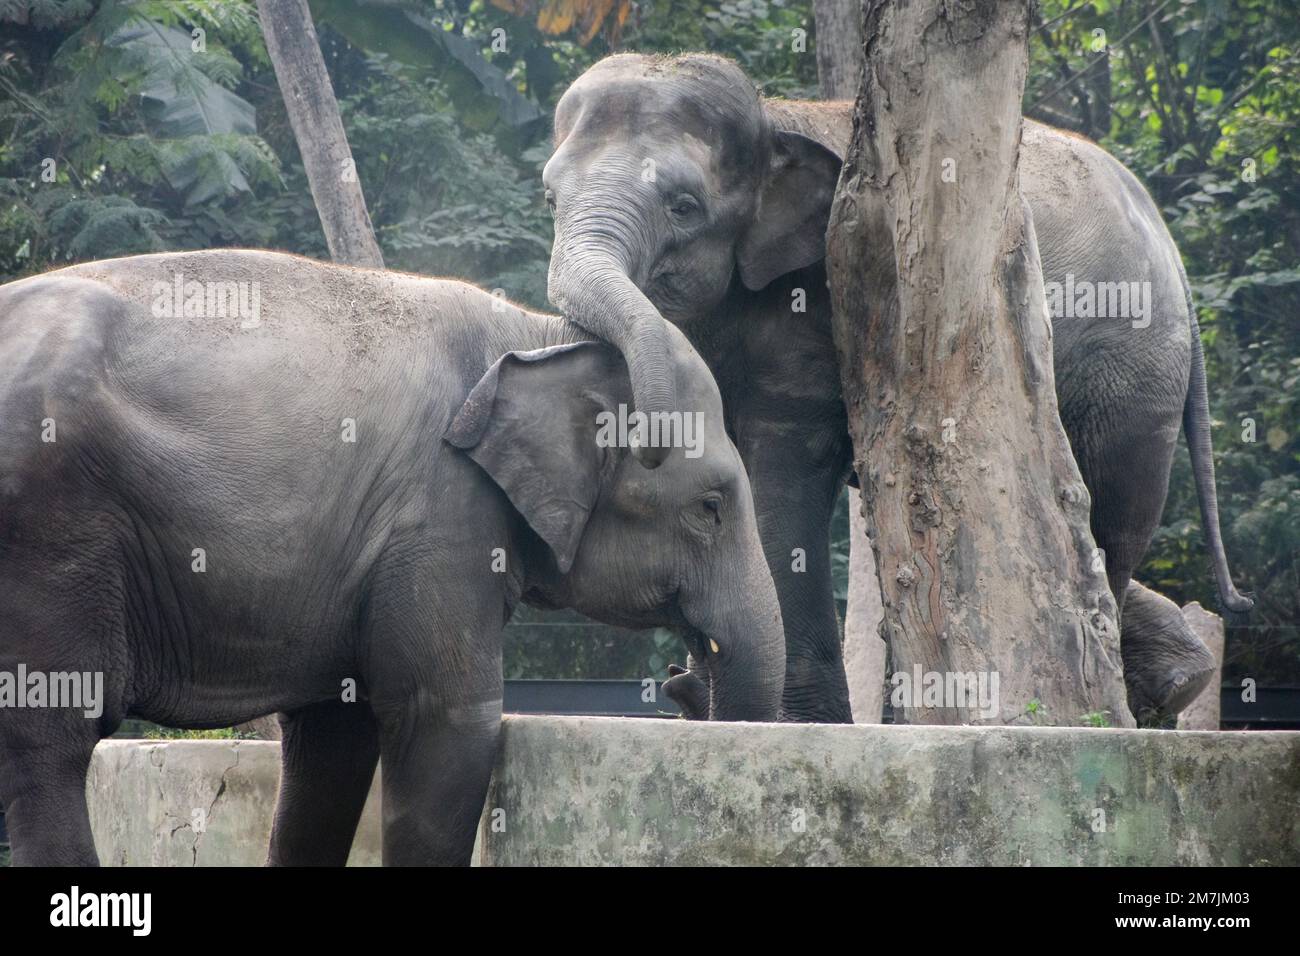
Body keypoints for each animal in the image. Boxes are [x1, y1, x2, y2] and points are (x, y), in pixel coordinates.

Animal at [0, 248, 784, 866]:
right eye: (710, 508)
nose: (682, 675)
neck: (534, 334)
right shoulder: (441, 515)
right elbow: (445, 722)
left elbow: (333, 743)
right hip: (51, 532)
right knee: (51, 742)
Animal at [542, 53, 1252, 725]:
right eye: (551, 200)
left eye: (684, 207)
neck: (774, 116)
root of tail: (1171, 246)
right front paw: (702, 697)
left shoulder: (818, 305)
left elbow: (782, 475)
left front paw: (793, 722)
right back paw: (1177, 677)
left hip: (1130, 369)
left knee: (1109, 518)